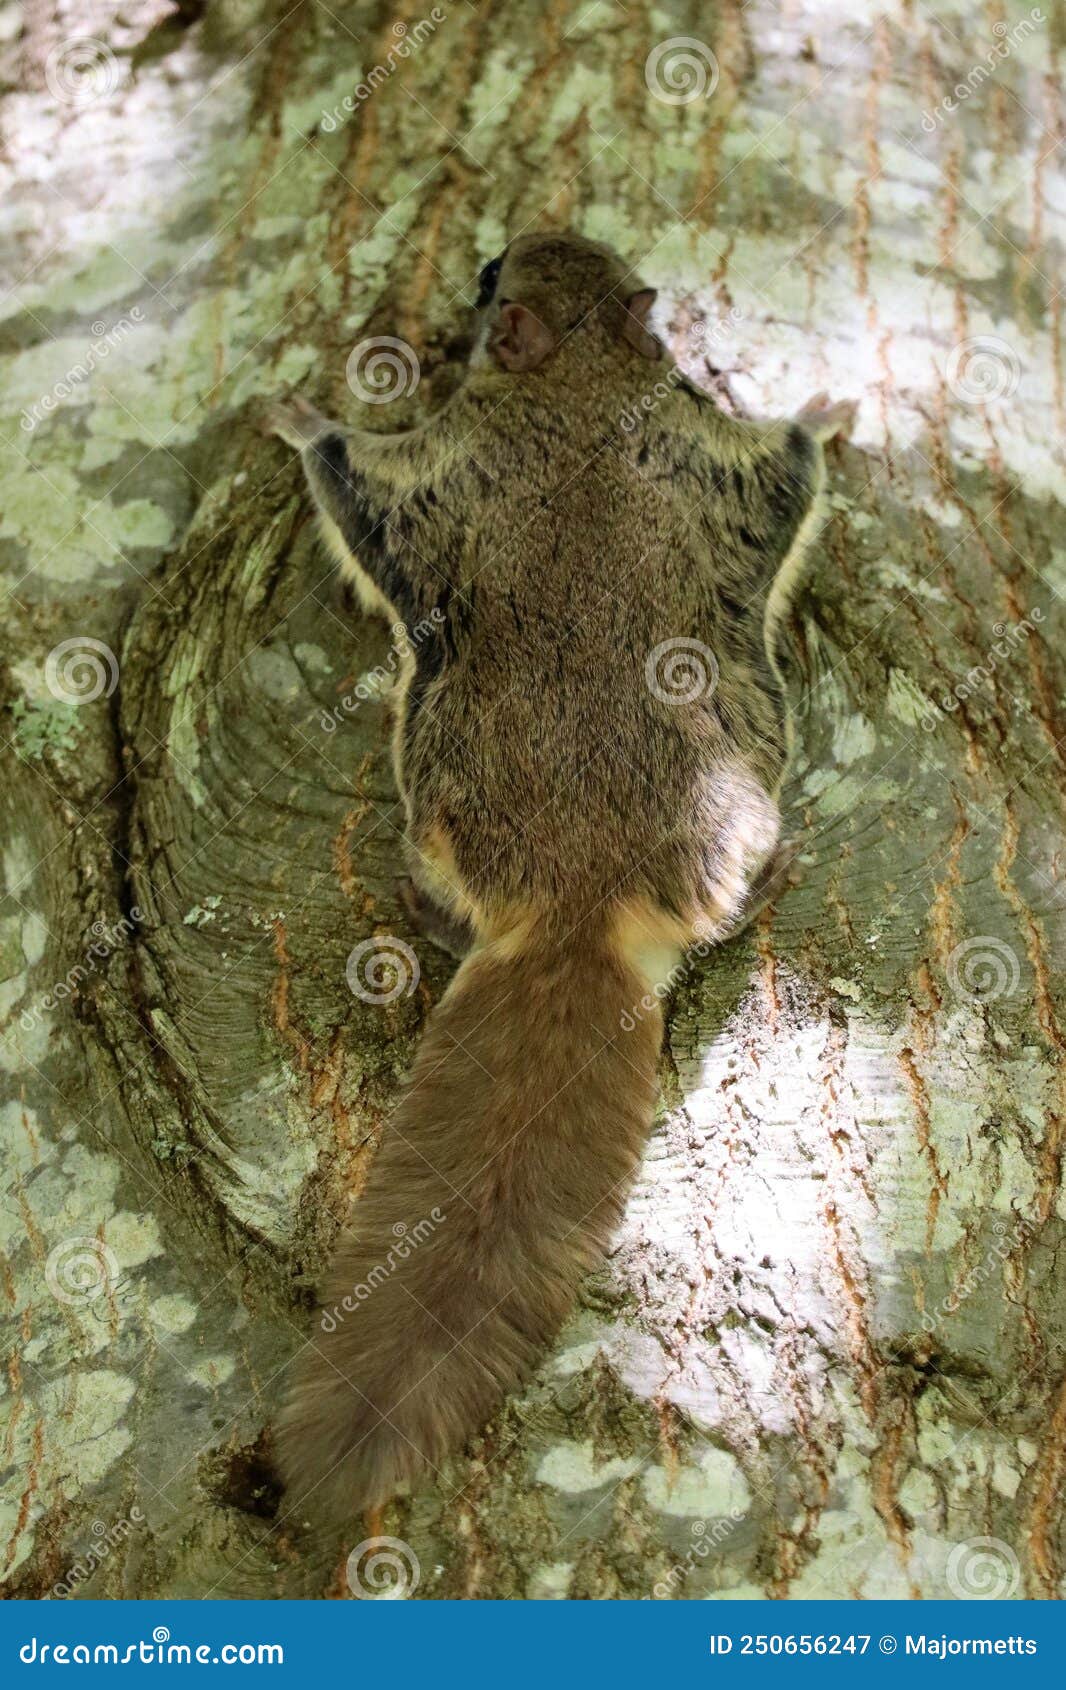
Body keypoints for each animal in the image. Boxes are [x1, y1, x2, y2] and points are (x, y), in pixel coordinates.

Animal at [266, 231, 847, 1520]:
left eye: (492, 281)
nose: (493, 256)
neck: (580, 386)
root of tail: (576, 912)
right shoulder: (702, 460)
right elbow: (779, 479)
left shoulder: (446, 473)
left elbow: (353, 479)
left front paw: (296, 417)